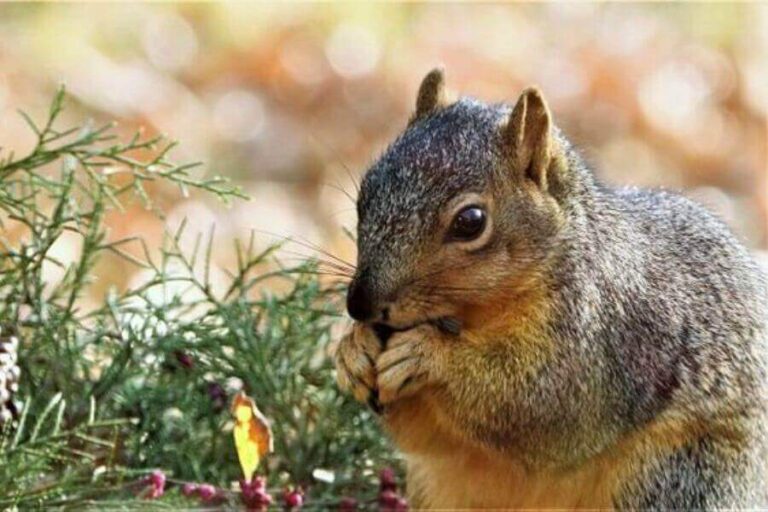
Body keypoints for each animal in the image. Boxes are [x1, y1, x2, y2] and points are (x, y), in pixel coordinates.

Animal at [333, 68, 768, 509]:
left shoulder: (603, 342)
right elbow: (426, 438)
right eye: (366, 191)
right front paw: (351, 351)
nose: (360, 304)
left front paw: (430, 356)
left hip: (673, 479)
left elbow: (542, 404)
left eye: (470, 222)